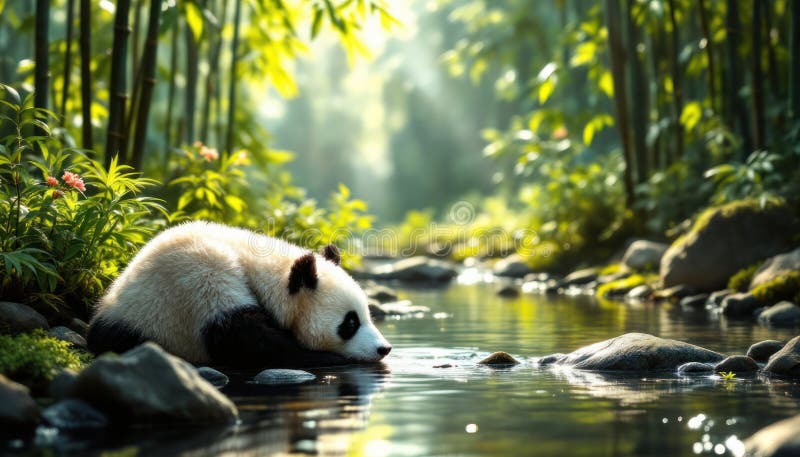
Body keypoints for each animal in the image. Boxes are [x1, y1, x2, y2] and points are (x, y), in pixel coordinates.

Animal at [87, 221, 392, 367]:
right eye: (350, 323)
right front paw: (327, 359)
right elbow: (244, 340)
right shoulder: (206, 277)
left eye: (367, 314)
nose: (384, 348)